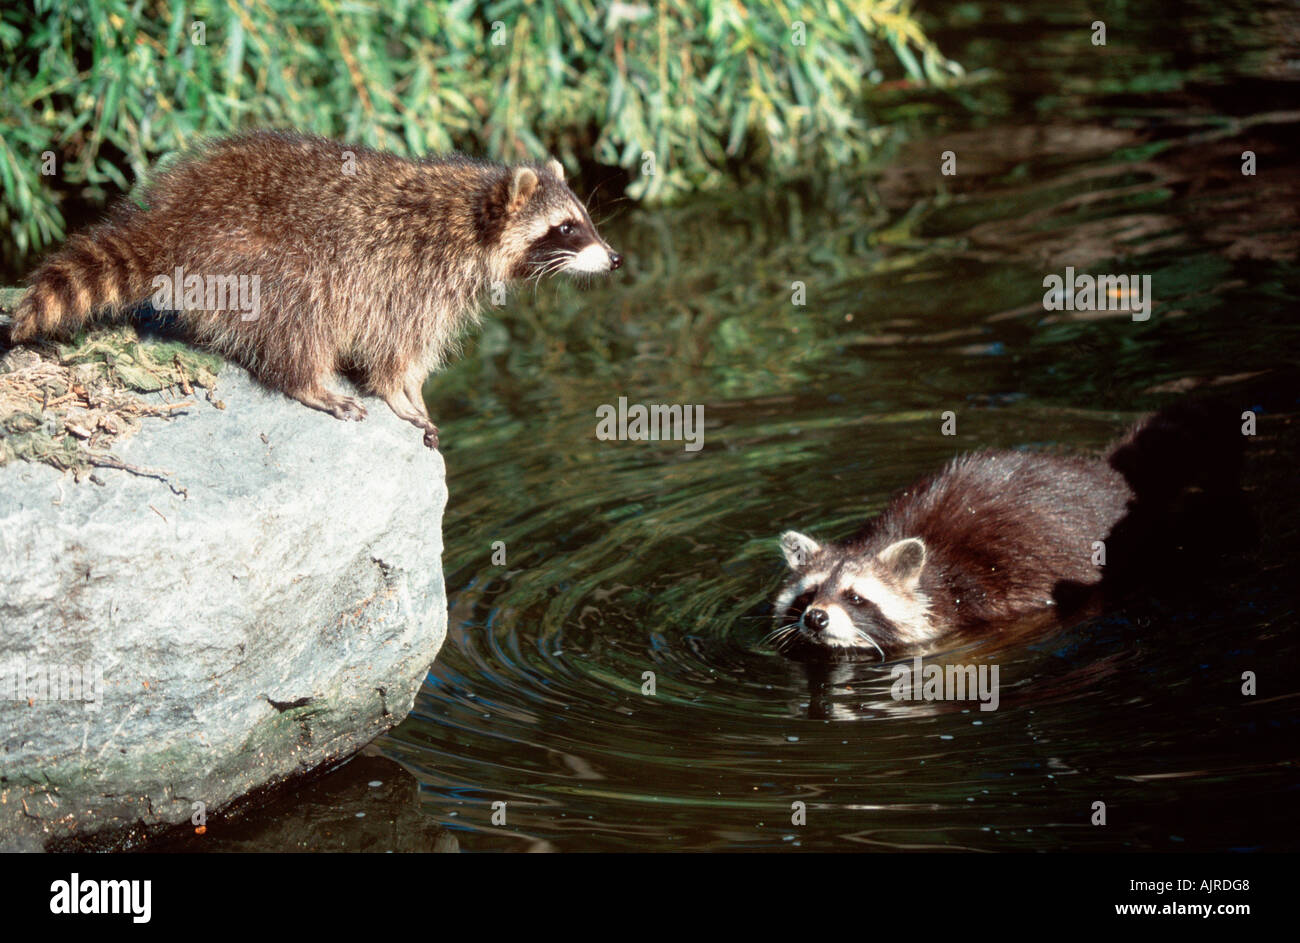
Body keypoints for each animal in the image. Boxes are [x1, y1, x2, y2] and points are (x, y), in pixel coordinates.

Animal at [7, 130, 622, 449]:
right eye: (565, 228)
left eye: (585, 219)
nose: (615, 258)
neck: (469, 216)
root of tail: (173, 219)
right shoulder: (408, 277)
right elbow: (393, 350)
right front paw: (401, 396)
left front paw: (415, 391)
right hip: (257, 263)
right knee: (302, 318)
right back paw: (310, 382)